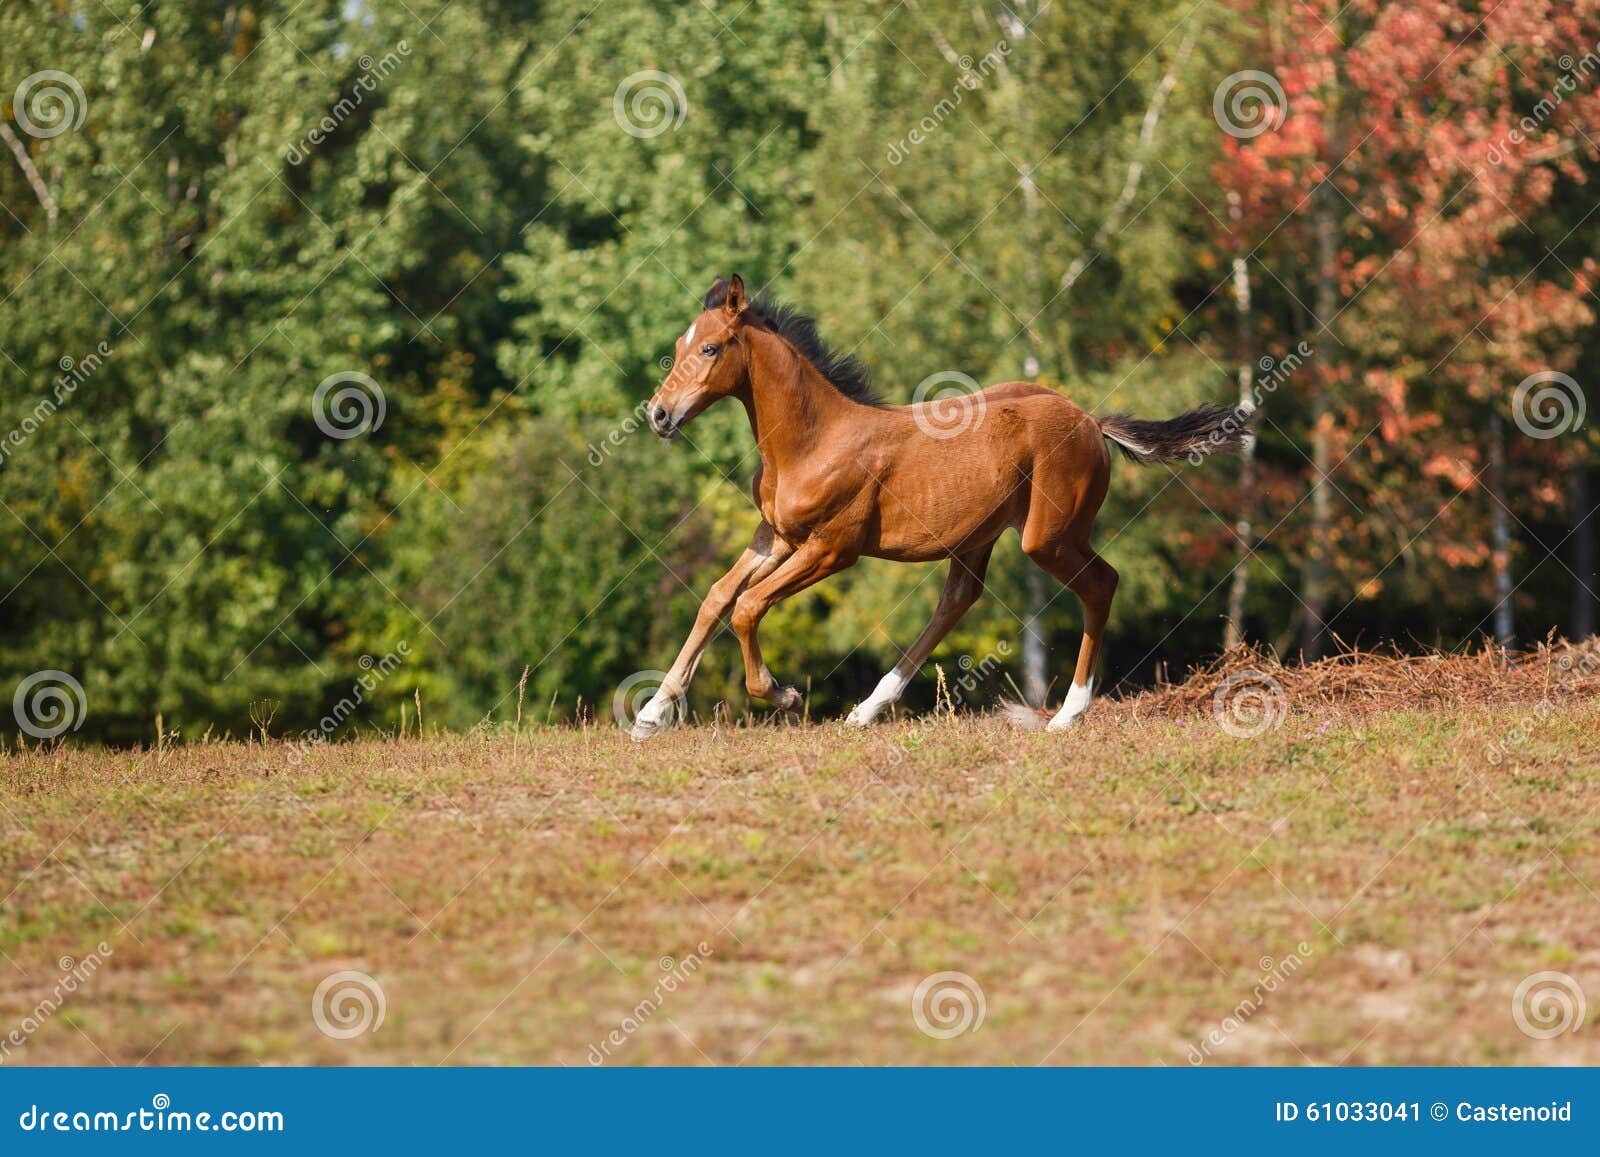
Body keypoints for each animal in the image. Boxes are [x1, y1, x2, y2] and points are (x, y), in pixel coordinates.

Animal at [628, 274, 1253, 739]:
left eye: (710, 348)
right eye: (679, 348)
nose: (658, 415)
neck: (812, 440)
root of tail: (1091, 422)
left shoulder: (831, 549)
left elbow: (748, 606)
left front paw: (782, 694)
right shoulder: (775, 535)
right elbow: (716, 598)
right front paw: (651, 714)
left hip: (1048, 536)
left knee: (1100, 584)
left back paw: (1068, 715)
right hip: (980, 536)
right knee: (958, 600)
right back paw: (866, 710)